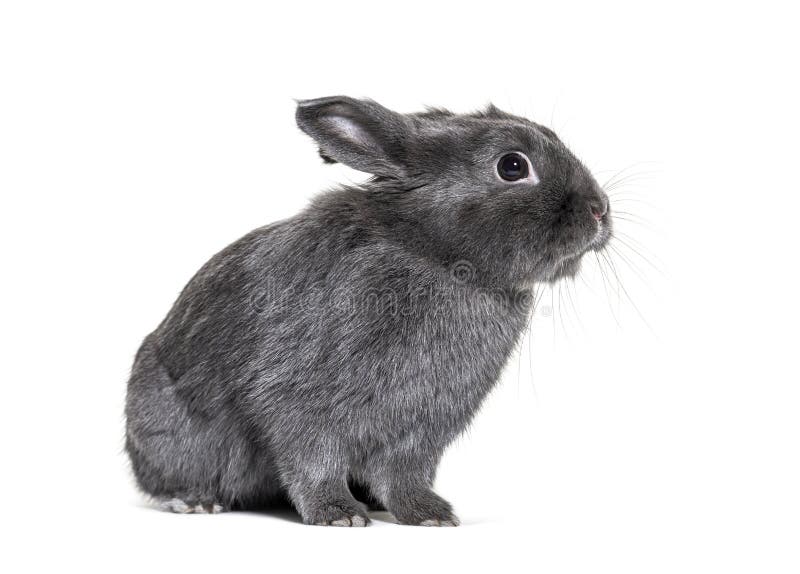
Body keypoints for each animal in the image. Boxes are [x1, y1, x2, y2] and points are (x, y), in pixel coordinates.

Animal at [125, 96, 612, 526]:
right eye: (513, 165)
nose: (600, 209)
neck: (432, 254)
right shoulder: (300, 401)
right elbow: (313, 460)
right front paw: (337, 514)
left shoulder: (422, 428)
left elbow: (404, 475)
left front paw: (429, 515)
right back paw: (196, 502)